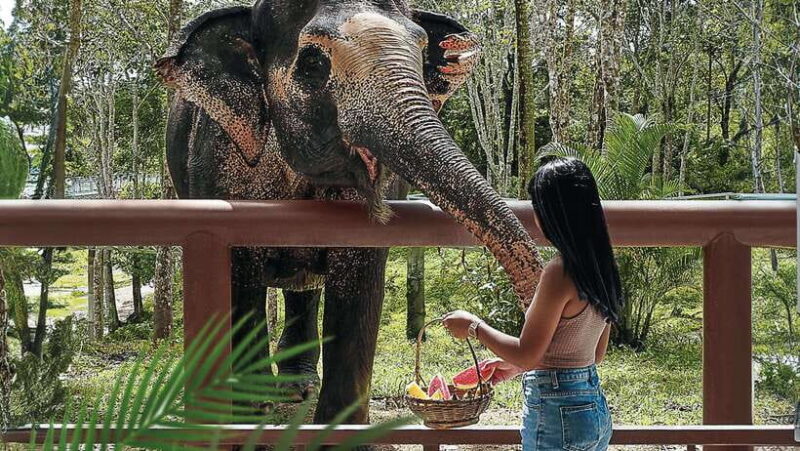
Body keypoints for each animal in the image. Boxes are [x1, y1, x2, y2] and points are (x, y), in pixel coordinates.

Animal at [156, 0, 542, 425]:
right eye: (312, 63)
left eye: (422, 49)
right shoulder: (218, 163)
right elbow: (238, 281)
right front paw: (245, 413)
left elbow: (360, 277)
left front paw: (341, 424)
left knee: (303, 287)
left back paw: (297, 388)